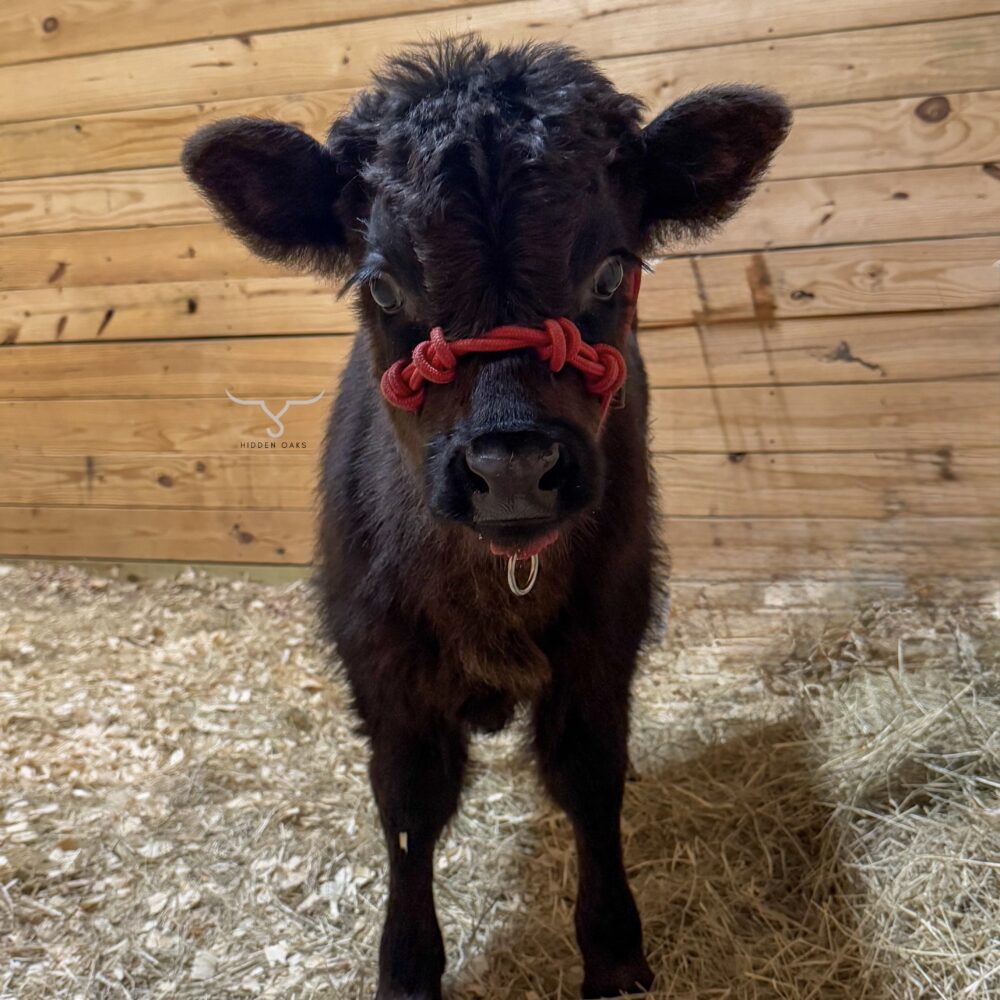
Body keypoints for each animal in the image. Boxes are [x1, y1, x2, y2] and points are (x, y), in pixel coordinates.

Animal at [182, 36, 789, 999]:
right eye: (384, 287)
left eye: (612, 270)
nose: (512, 469)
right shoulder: (382, 662)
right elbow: (409, 808)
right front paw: (406, 967)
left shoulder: (604, 640)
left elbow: (591, 782)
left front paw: (616, 955)